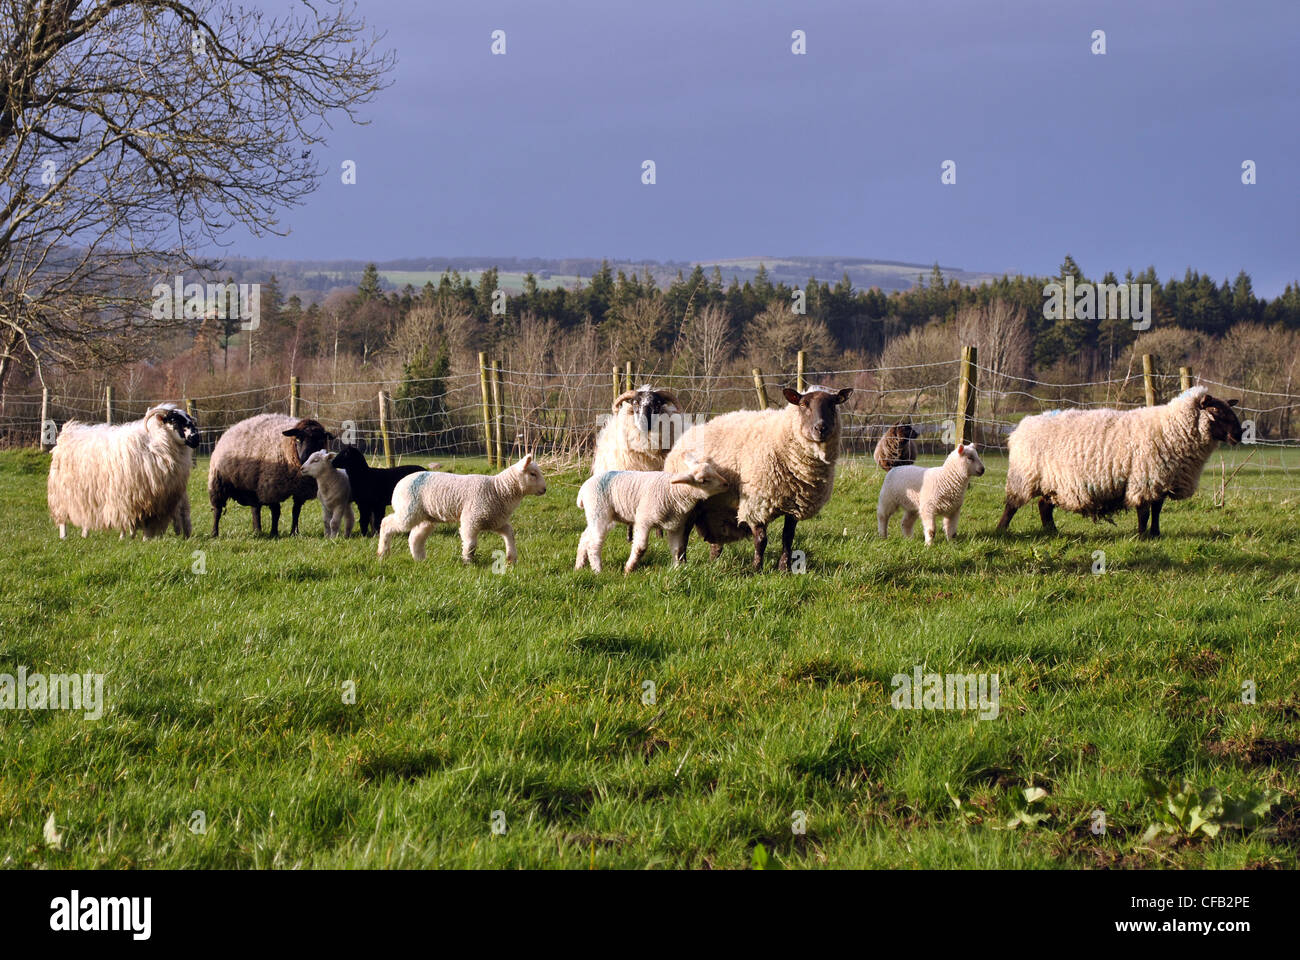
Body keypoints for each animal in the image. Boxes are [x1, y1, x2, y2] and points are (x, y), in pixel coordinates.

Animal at [47, 403, 201, 540]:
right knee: (62, 517)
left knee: (85, 513)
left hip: (85, 493)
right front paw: (126, 537)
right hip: (61, 493)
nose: (195, 438)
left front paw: (141, 538)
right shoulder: (125, 495)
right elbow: (127, 518)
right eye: (174, 420)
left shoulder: (153, 499)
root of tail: (67, 431)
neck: (155, 444)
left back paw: (85, 534)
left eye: (190, 419)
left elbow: (146, 522)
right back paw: (63, 536)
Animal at [378, 454, 547, 563]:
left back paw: (420, 559)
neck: (498, 490)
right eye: (532, 474)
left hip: (426, 517)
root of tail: (399, 484)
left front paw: (511, 558)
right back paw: (383, 553)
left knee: (415, 536)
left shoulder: (495, 520)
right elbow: (471, 544)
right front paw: (468, 561)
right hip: (408, 511)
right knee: (386, 523)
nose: (545, 489)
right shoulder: (471, 519)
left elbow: (510, 534)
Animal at [574, 458, 730, 573]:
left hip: (597, 515)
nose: (726, 484)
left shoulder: (676, 525)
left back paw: (579, 565)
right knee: (594, 543)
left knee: (585, 537)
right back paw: (597, 570)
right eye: (704, 481)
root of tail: (583, 489)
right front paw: (629, 569)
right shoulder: (644, 519)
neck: (673, 491)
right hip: (599, 511)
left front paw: (677, 569)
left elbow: (677, 549)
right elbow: (640, 548)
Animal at [663, 385, 853, 571]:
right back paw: (682, 563)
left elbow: (788, 538)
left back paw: (713, 564)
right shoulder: (757, 502)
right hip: (688, 500)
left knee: (716, 542)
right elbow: (761, 540)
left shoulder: (794, 506)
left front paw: (784, 569)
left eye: (833, 404)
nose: (821, 428)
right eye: (803, 404)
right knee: (684, 533)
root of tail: (684, 436)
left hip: (716, 509)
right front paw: (757, 569)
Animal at [995, 386, 1243, 538]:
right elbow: (1144, 511)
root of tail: (1020, 427)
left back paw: (1052, 532)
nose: (1239, 434)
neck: (1171, 428)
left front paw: (1156, 534)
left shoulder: (1160, 479)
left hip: (1054, 482)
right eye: (1215, 410)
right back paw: (1002, 530)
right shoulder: (1144, 478)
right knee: (1012, 505)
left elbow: (1157, 509)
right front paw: (1142, 536)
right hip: (1024, 476)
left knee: (1043, 505)